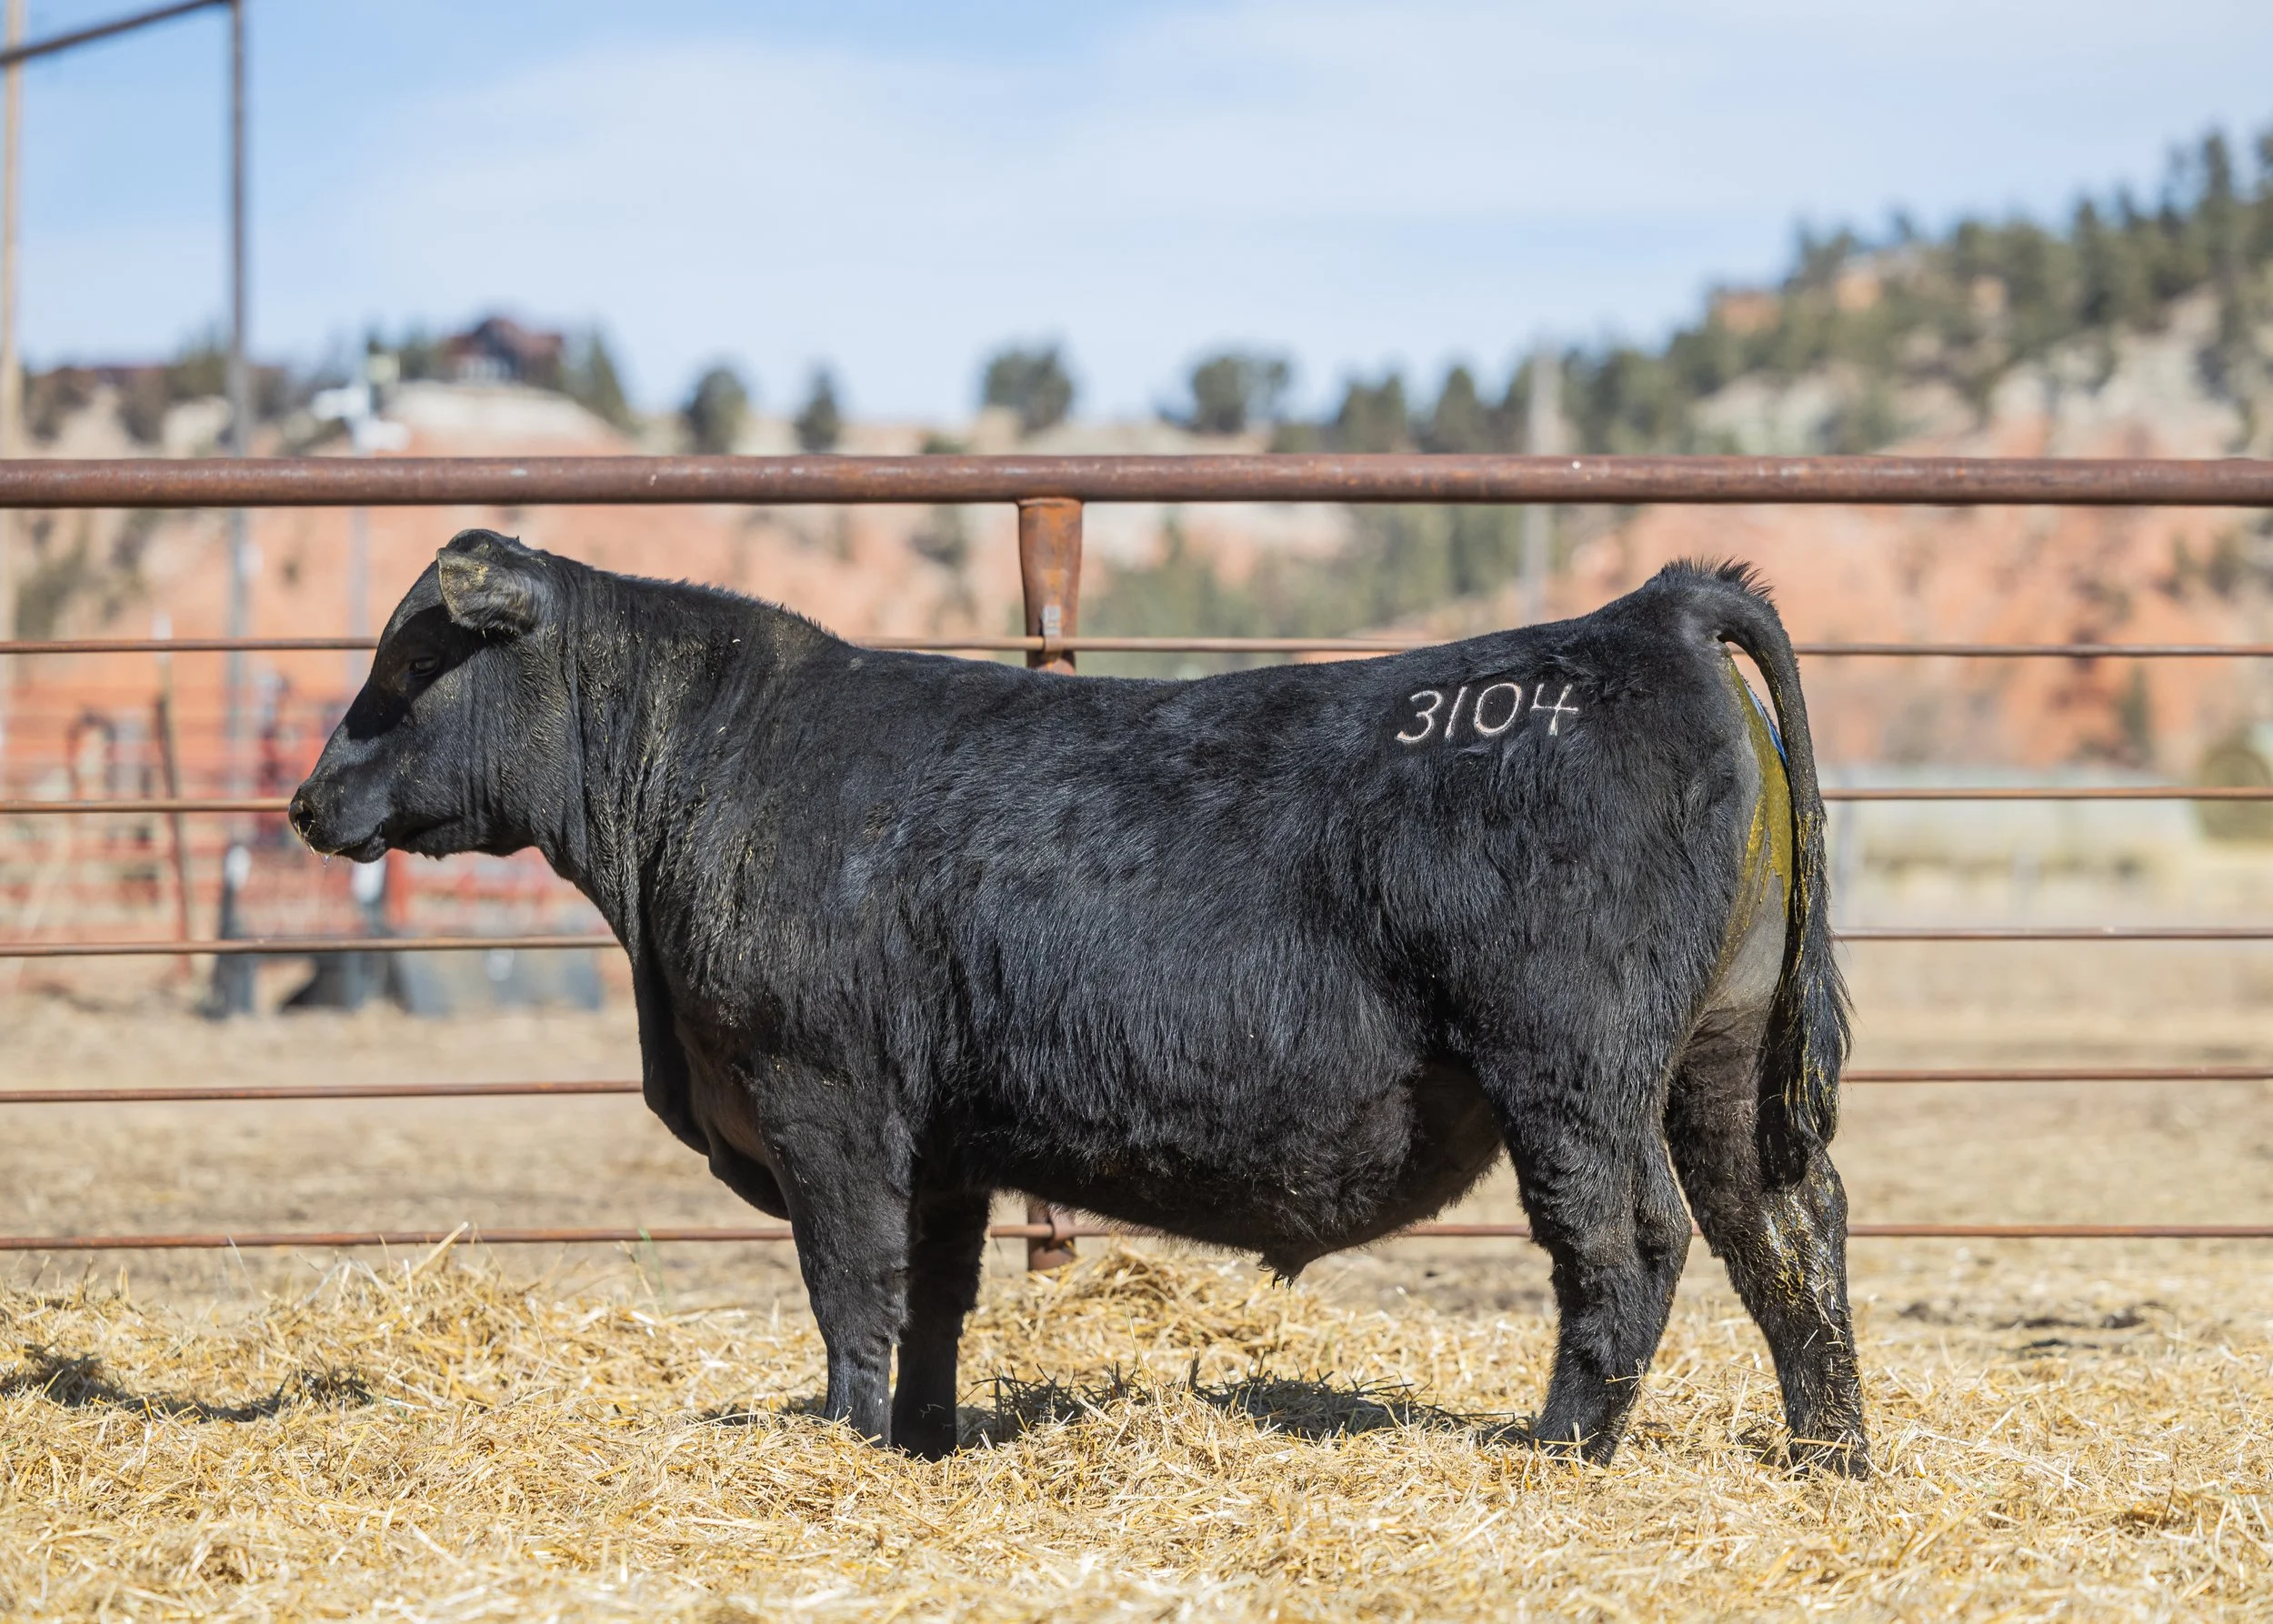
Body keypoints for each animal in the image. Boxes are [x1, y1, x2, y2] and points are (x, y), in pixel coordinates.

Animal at [290, 528, 1867, 1474]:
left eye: (412, 655)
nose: (307, 800)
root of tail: (1651, 610)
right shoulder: (941, 1136)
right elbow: (935, 1294)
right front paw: (921, 1440)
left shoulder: (825, 1095)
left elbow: (848, 1283)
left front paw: (846, 1439)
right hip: (1721, 1060)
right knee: (1787, 1230)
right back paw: (1830, 1454)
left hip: (1573, 1072)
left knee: (1631, 1241)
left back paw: (1557, 1450)